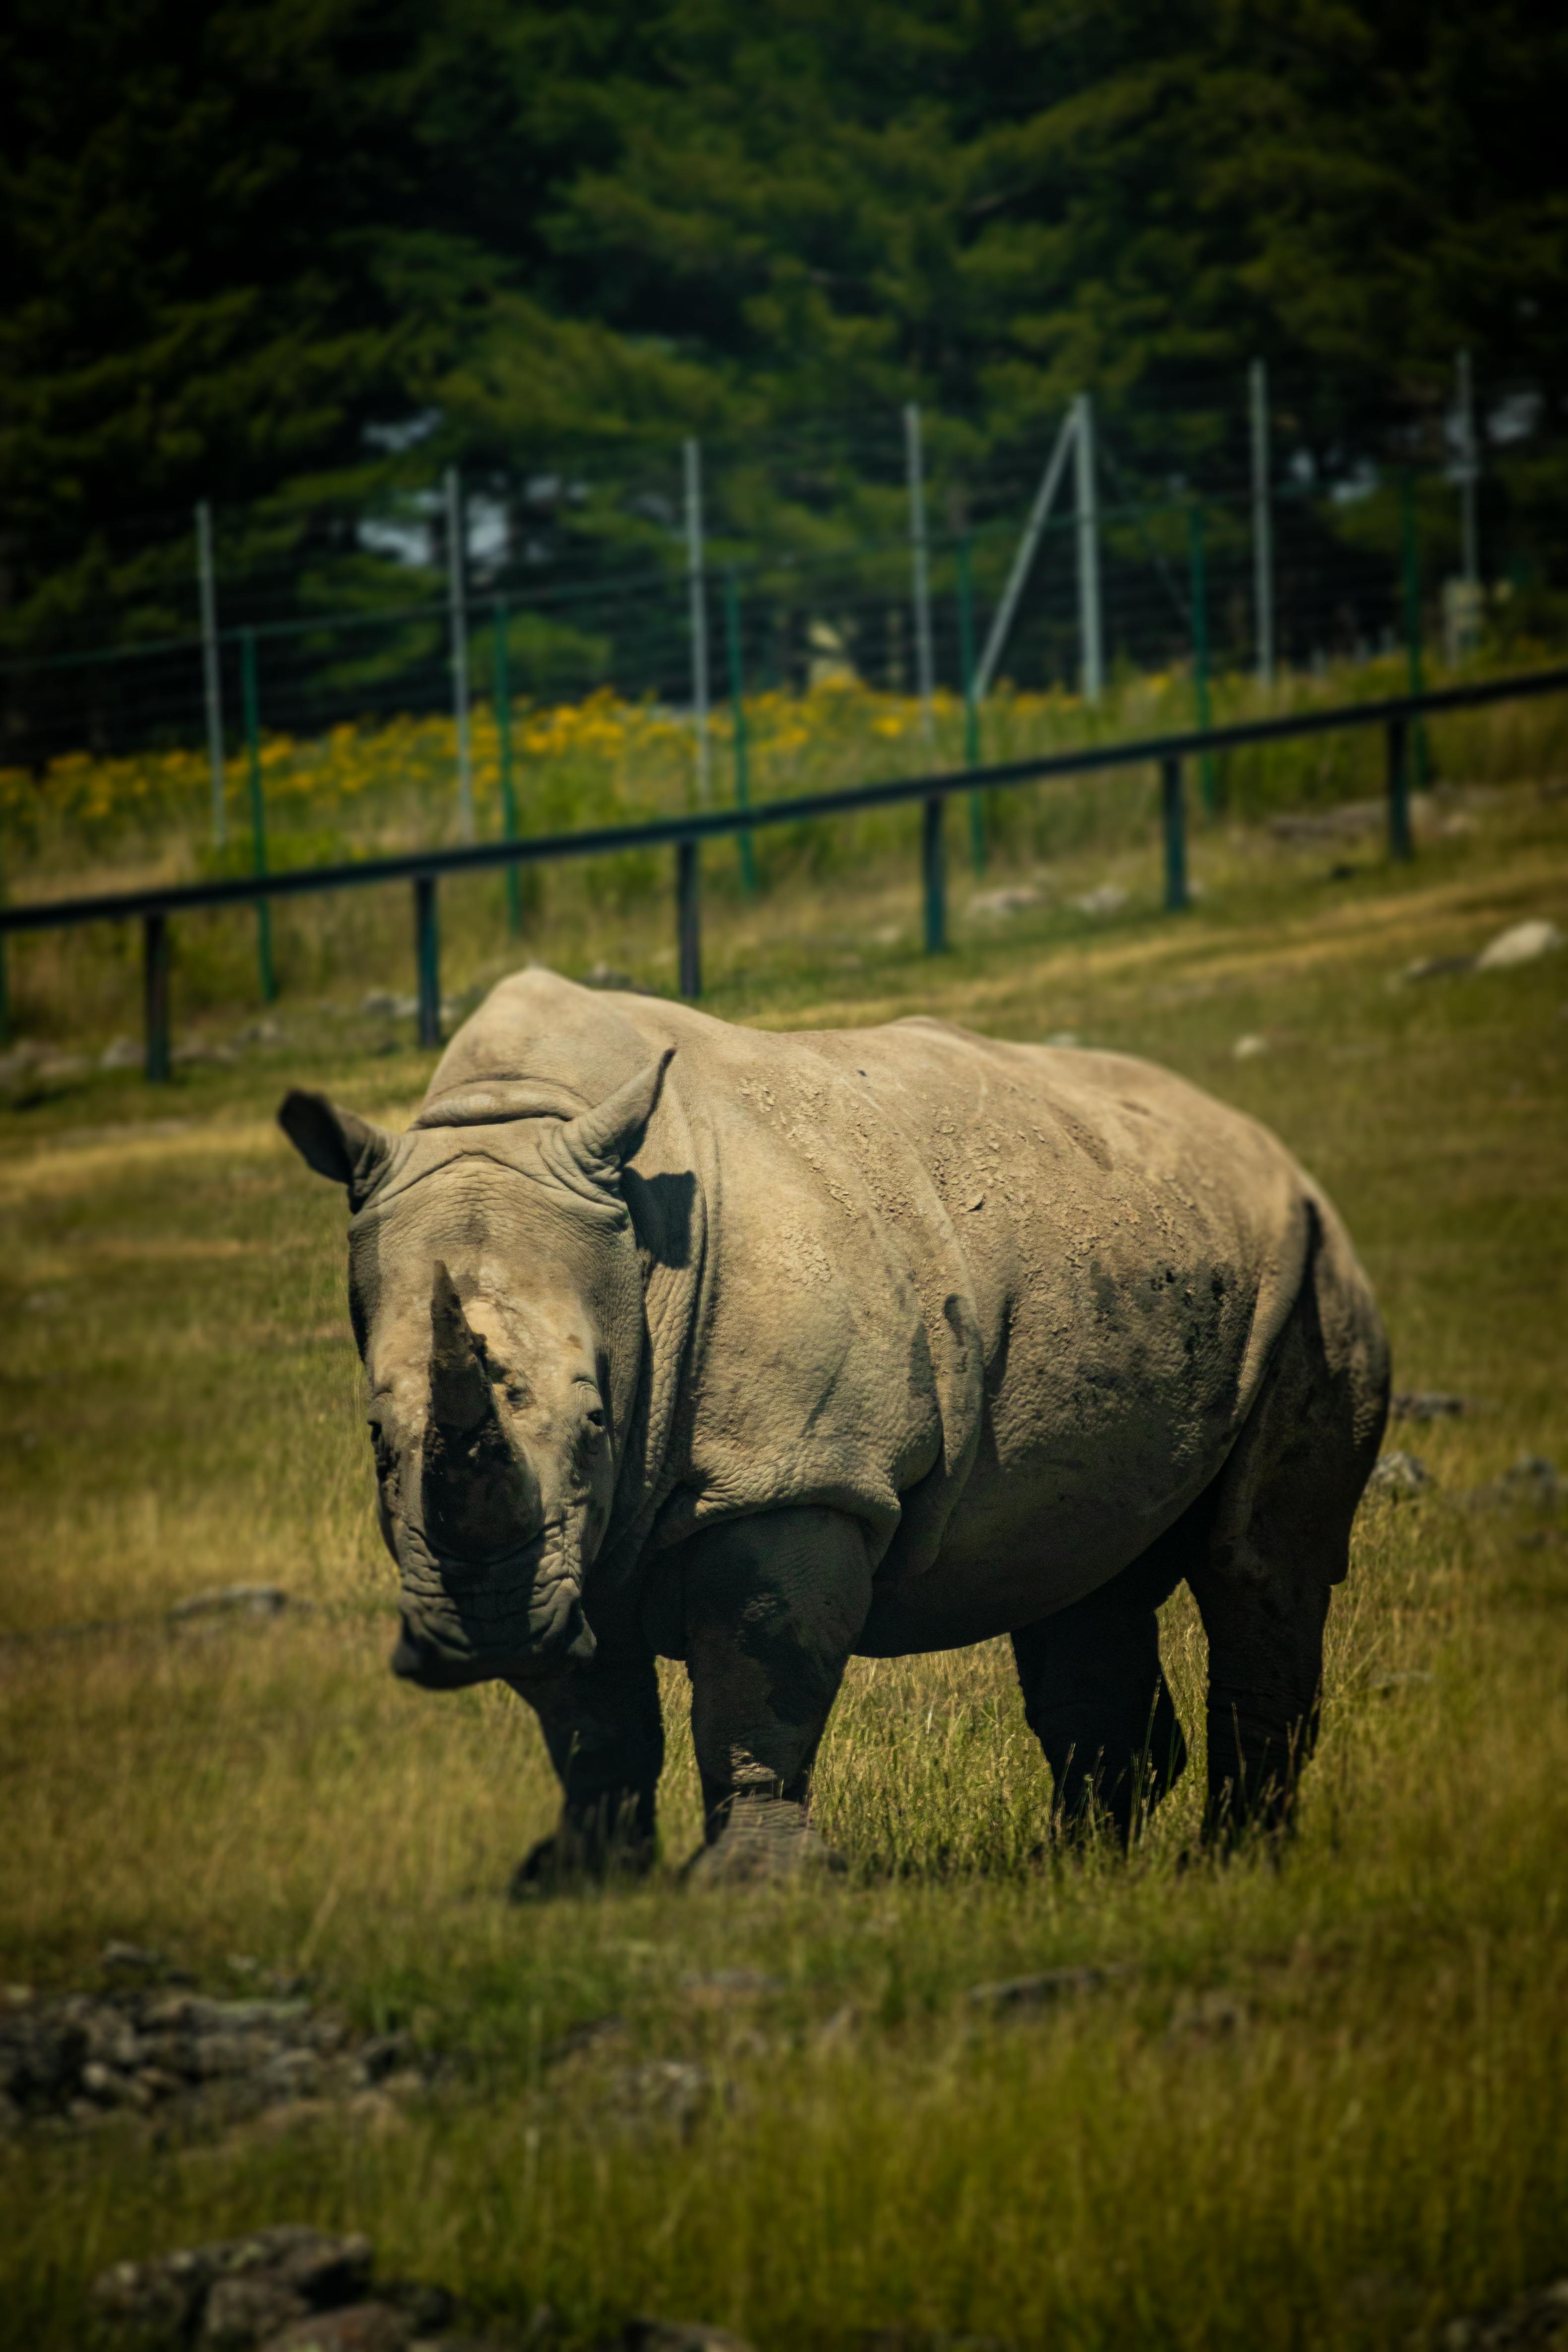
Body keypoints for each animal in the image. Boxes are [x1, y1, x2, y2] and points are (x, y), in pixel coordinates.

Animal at [279, 968, 1388, 1885]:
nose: (482, 1632)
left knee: (1255, 1562)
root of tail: (1262, 1145)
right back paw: (1072, 1870)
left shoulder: (792, 1476)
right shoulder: (557, 1537)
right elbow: (588, 1715)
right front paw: (577, 1881)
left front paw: (754, 1886)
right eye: (377, 1437)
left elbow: (761, 1668)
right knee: (1079, 1563)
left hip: (1310, 1267)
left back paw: (1233, 1866)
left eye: (596, 1419)